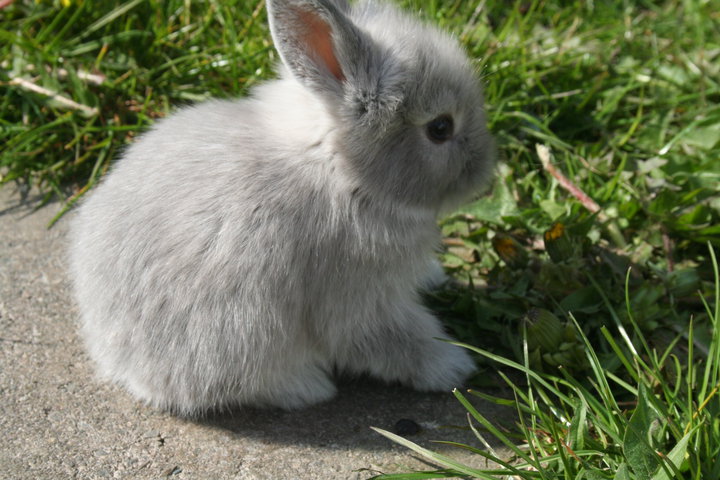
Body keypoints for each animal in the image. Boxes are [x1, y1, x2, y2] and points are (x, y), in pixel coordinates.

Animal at [68, 0, 494, 417]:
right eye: (440, 128)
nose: (486, 172)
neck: (343, 170)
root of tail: (112, 356)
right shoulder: (358, 299)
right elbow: (393, 339)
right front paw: (453, 366)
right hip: (246, 331)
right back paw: (307, 388)